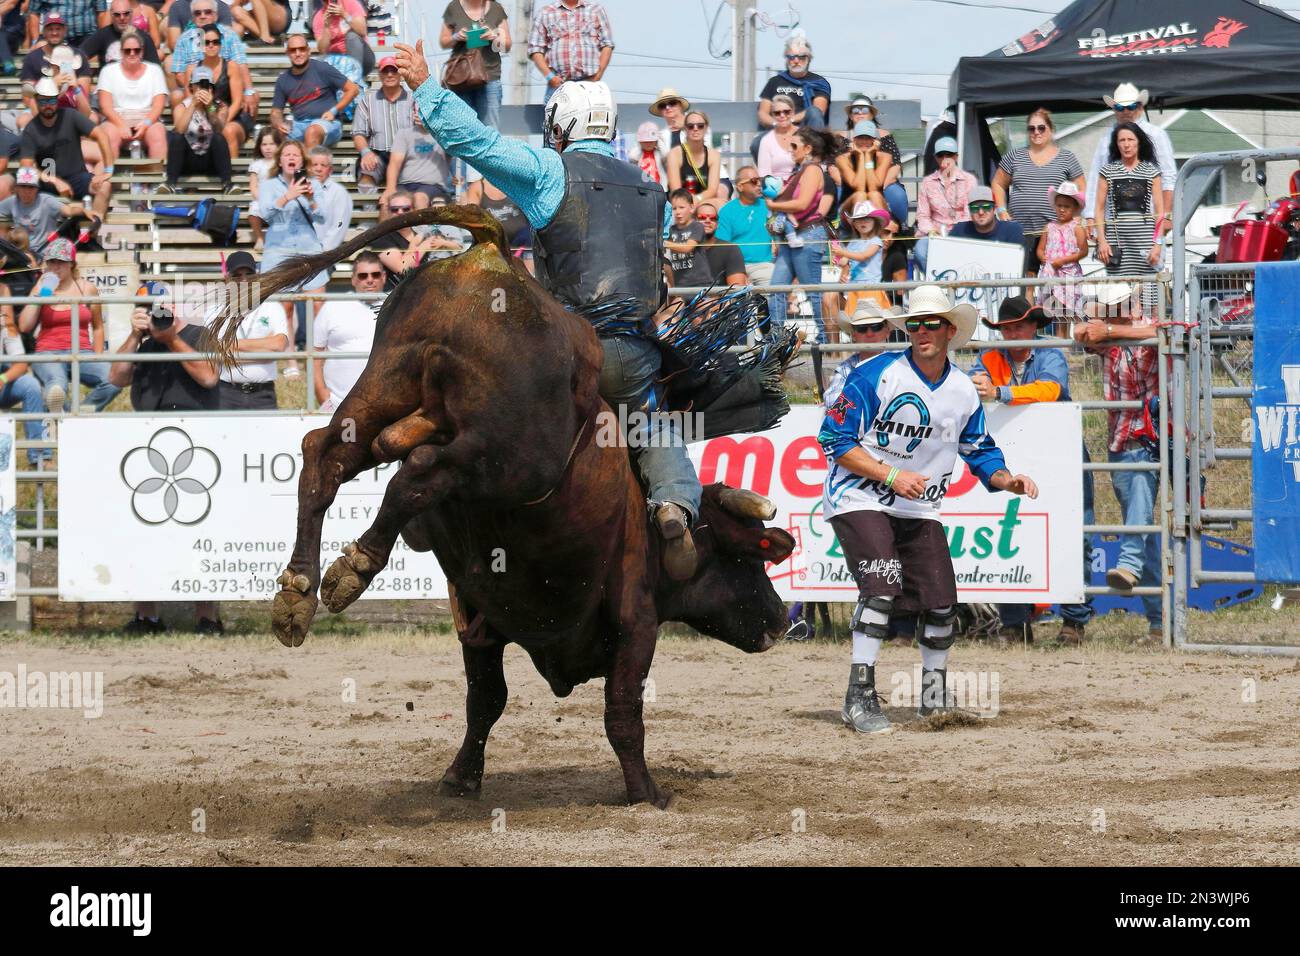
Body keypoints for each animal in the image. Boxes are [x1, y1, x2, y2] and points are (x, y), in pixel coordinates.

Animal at [210, 207, 796, 808]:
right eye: (748, 558)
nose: (782, 619)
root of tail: (489, 253)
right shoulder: (636, 617)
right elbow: (622, 712)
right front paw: (646, 793)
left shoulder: (481, 618)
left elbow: (486, 699)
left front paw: (461, 777)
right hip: (505, 452)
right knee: (419, 469)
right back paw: (356, 565)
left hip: (385, 382)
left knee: (328, 455)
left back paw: (300, 591)